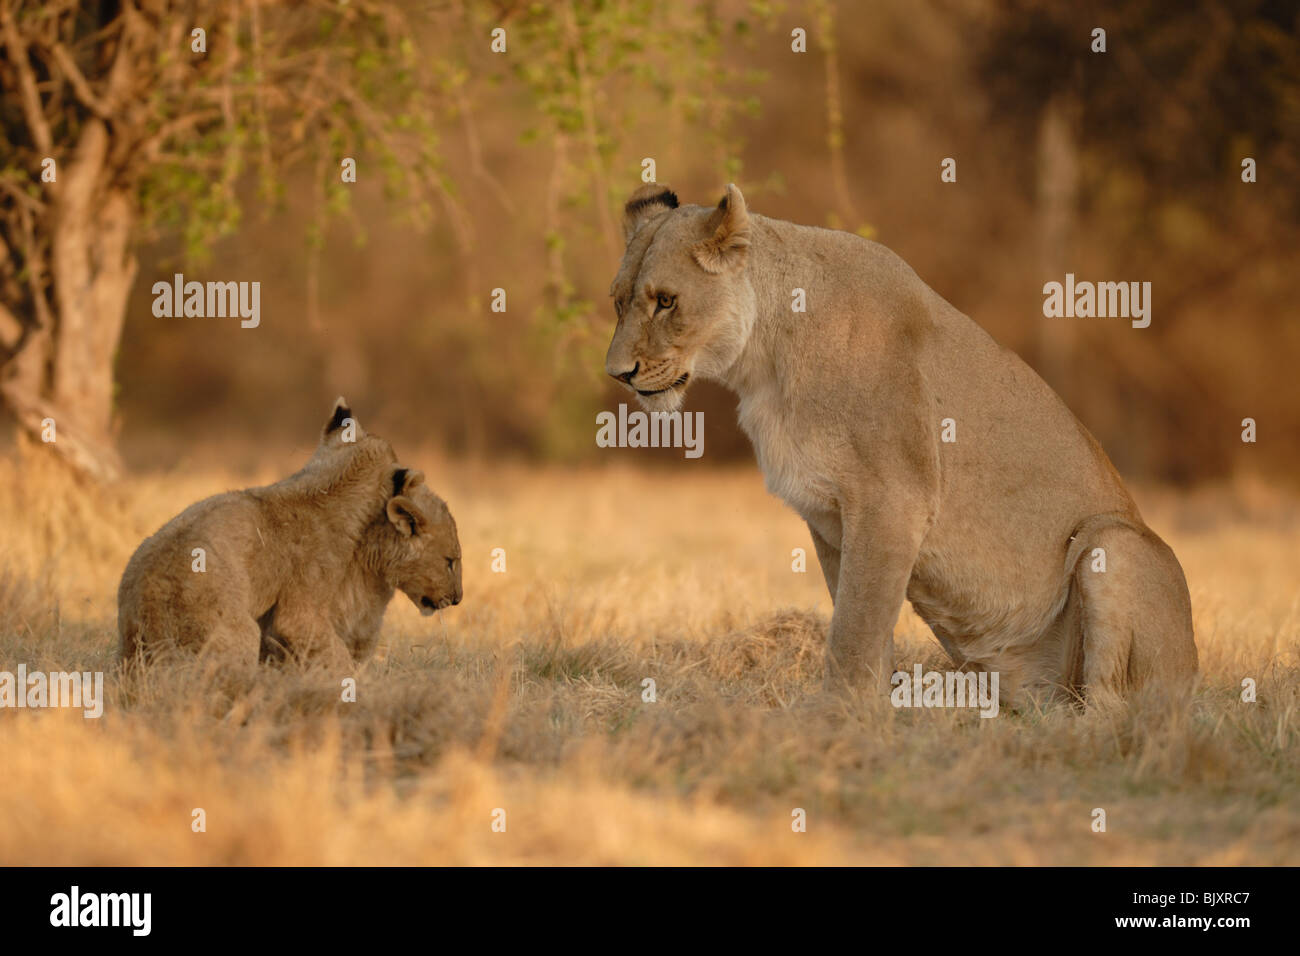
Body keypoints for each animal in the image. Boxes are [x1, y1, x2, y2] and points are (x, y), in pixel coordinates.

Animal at [118, 398, 461, 671]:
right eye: (450, 561)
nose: (457, 599)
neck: (325, 487)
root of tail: (146, 610)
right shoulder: (299, 612)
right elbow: (336, 654)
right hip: (236, 631)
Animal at [605, 183, 1197, 706]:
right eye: (618, 303)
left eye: (666, 301)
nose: (618, 374)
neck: (764, 360)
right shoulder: (828, 513)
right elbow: (861, 623)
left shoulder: (893, 499)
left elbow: (854, 631)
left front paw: (839, 724)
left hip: (1113, 541)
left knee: (1115, 708)